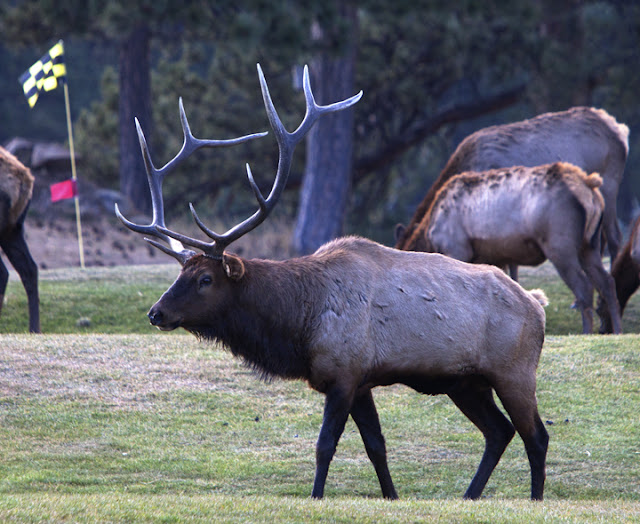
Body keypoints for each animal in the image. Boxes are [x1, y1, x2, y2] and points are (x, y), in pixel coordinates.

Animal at [117, 64, 549, 500]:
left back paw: (533, 498)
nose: (156, 313)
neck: (299, 324)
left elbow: (326, 444)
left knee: (535, 434)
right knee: (499, 431)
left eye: (205, 278)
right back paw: (469, 495)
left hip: (514, 370)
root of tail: (536, 304)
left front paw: (316, 495)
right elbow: (376, 446)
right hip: (465, 382)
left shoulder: (344, 373)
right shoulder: (360, 382)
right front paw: (391, 496)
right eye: (180, 273)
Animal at [396, 161, 622, 335]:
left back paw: (587, 332)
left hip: (559, 244)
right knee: (607, 281)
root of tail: (589, 185)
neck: (430, 232)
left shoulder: (457, 247)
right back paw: (616, 330)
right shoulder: (496, 257)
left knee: (584, 286)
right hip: (590, 245)